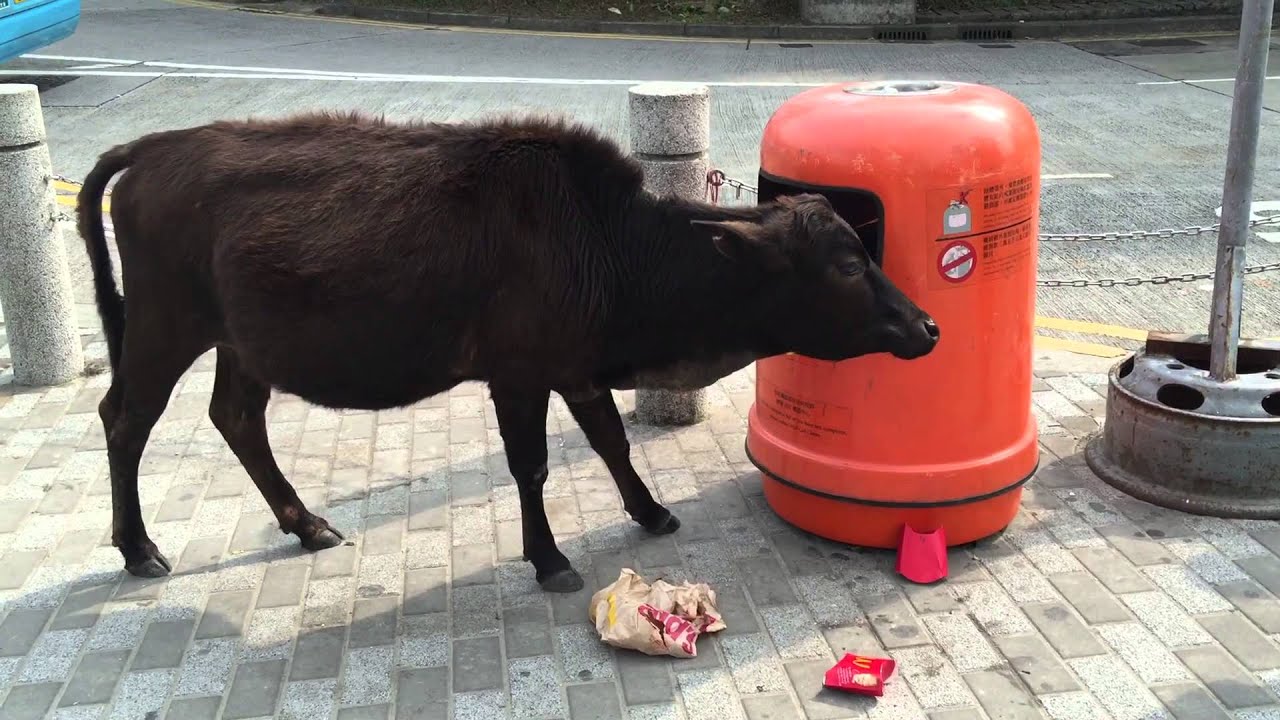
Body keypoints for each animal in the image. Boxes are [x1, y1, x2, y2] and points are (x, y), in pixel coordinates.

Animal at [76, 111, 939, 593]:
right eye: (848, 264)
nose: (928, 327)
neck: (601, 239)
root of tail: (153, 147)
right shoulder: (520, 374)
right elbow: (533, 467)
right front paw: (549, 559)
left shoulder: (576, 367)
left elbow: (613, 442)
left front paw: (652, 512)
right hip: (163, 325)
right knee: (124, 418)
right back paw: (139, 547)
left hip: (240, 342)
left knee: (235, 418)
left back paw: (306, 523)